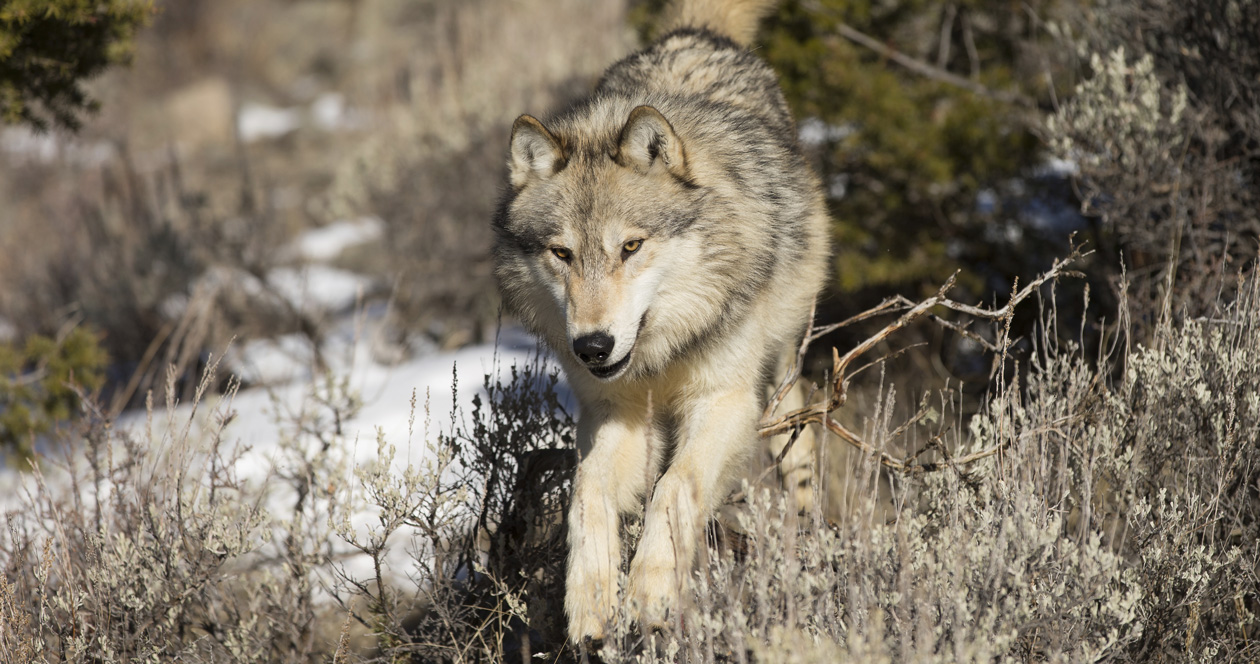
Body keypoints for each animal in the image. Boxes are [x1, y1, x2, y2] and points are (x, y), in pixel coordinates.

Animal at [491, 0, 830, 642]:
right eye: (562, 253)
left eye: (631, 246)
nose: (593, 347)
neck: (659, 354)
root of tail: (693, 34)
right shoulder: (614, 415)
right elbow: (586, 491)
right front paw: (591, 598)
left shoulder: (725, 400)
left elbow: (675, 487)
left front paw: (650, 593)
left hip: (781, 372)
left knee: (799, 445)